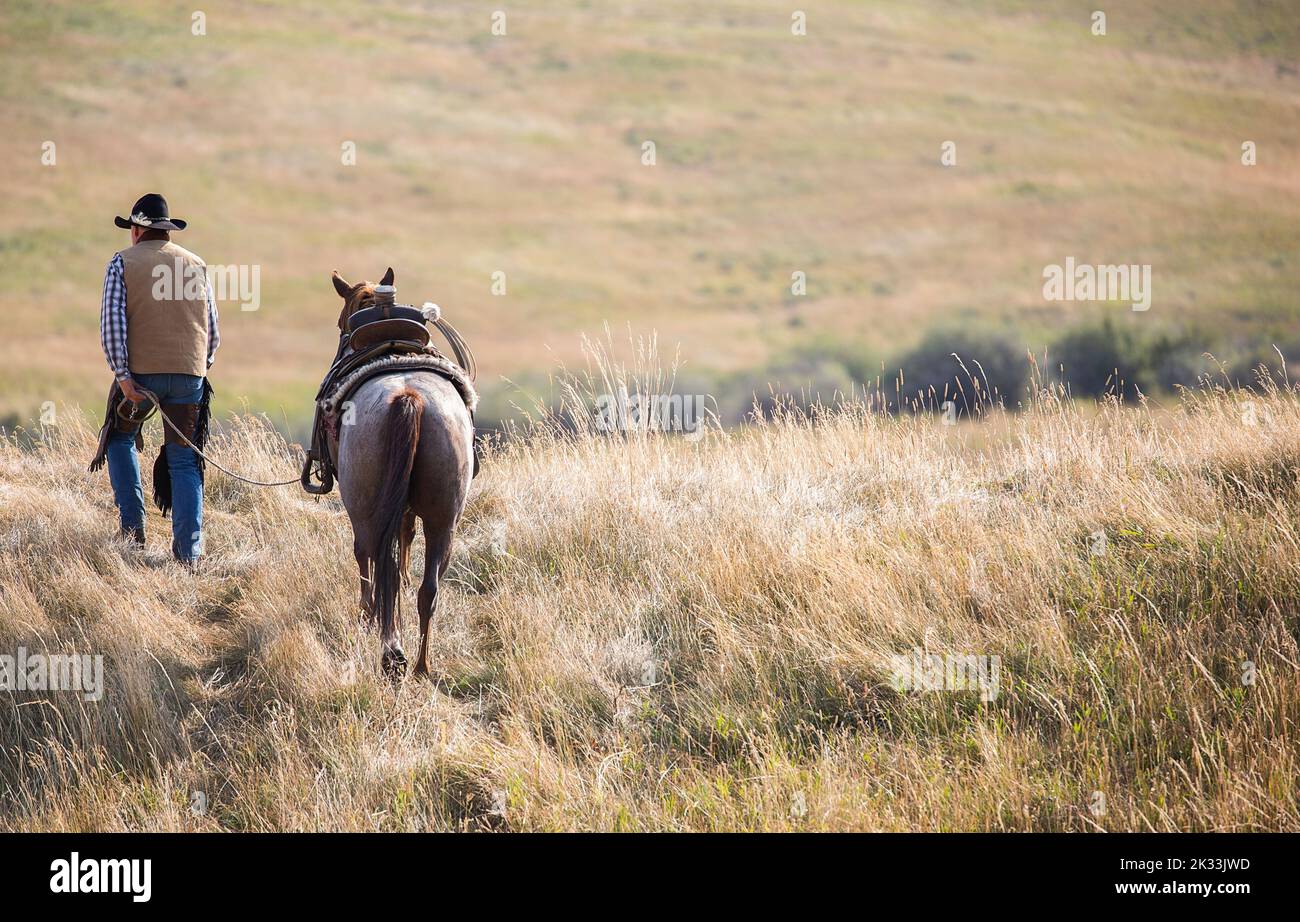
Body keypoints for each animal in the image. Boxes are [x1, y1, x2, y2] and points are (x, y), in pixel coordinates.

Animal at [328, 267, 475, 677]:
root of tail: (409, 398)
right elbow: (407, 534)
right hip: (444, 521)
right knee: (430, 590)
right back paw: (422, 664)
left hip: (365, 512)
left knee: (373, 562)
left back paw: (383, 638)